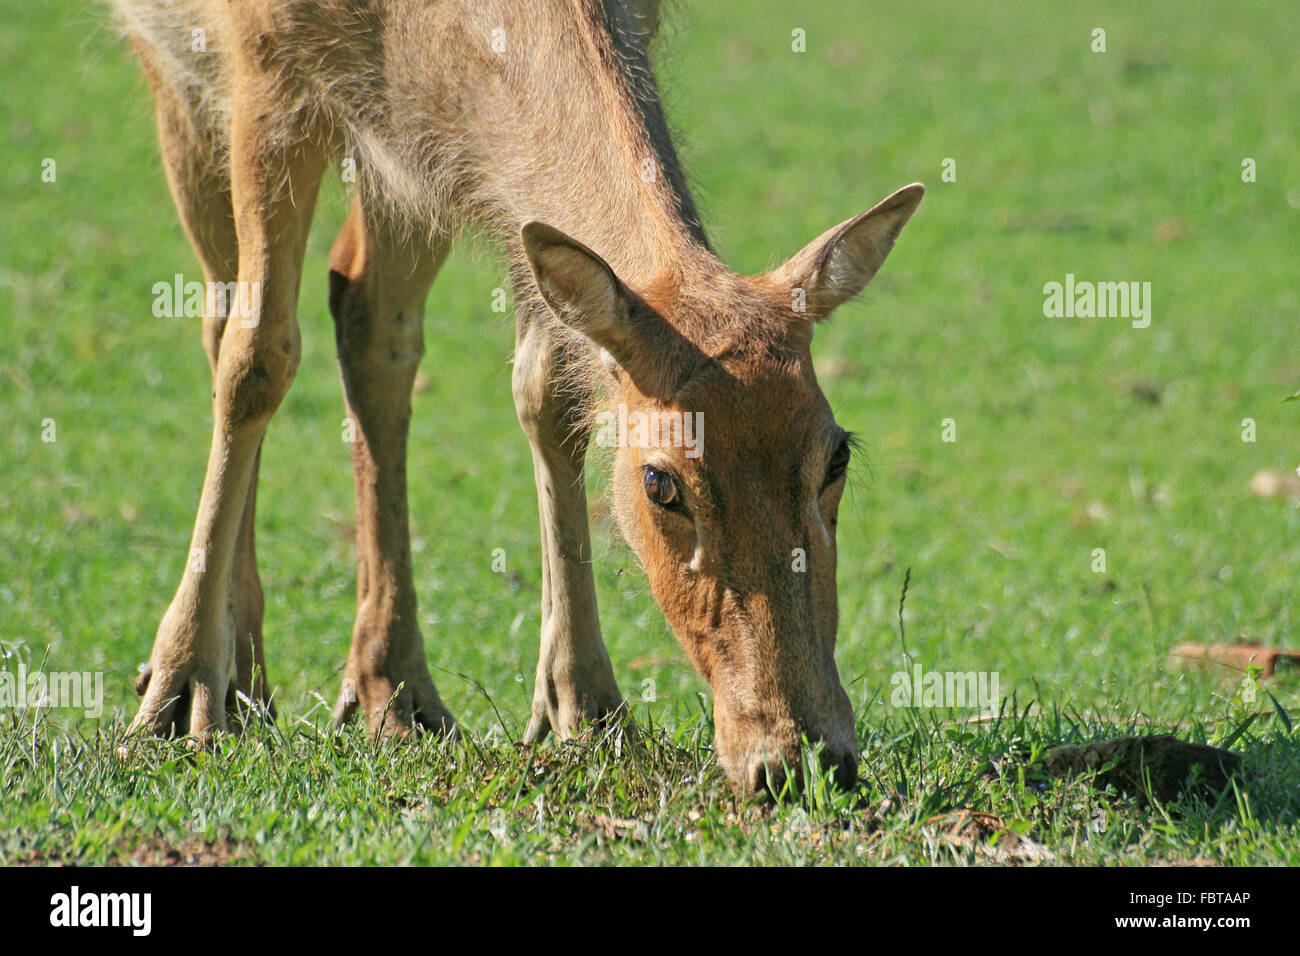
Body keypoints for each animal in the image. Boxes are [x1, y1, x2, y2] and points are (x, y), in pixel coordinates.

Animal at [110, 0, 923, 795]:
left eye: (837, 455)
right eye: (661, 483)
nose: (803, 760)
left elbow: (549, 387)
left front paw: (588, 708)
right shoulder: (261, 64)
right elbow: (257, 360)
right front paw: (173, 699)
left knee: (368, 314)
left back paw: (390, 692)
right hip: (181, 75)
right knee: (224, 320)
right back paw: (235, 677)